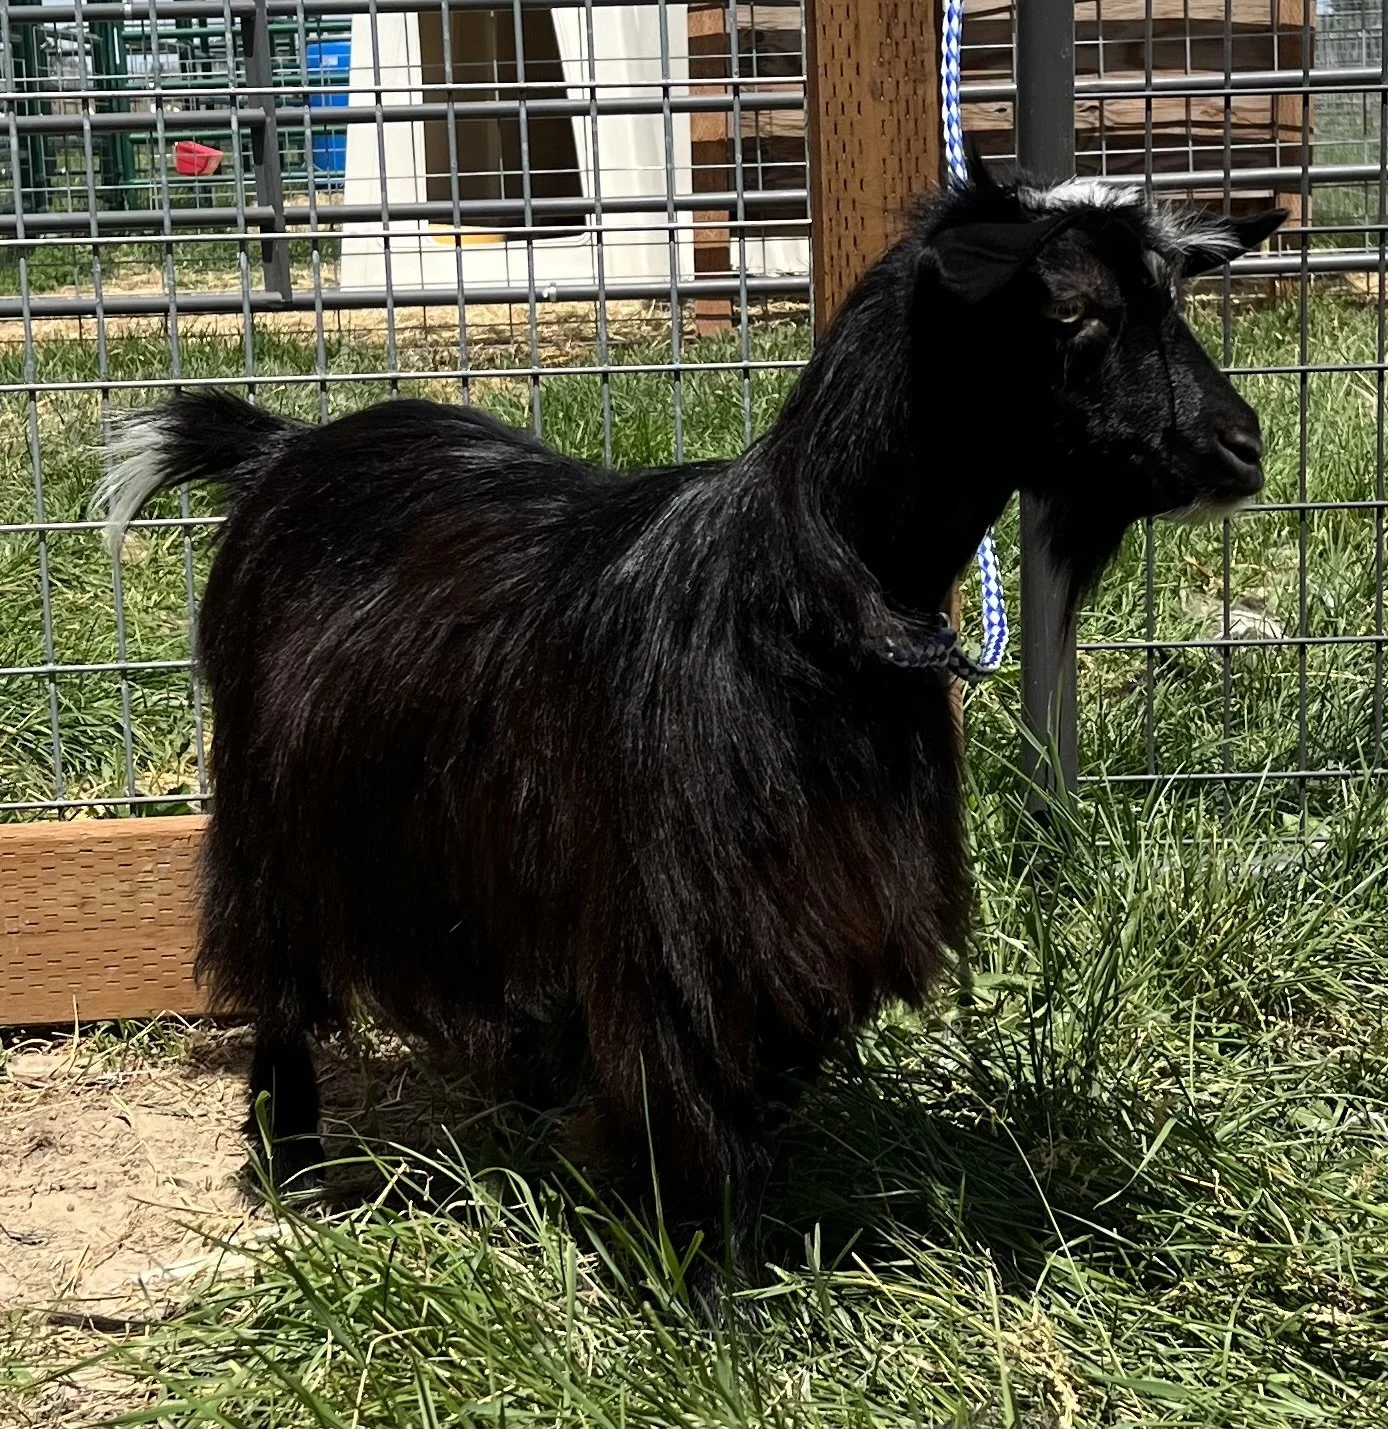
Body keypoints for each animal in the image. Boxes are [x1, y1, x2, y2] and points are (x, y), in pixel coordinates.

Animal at [97, 164, 1284, 1264]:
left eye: (1172, 298)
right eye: (1072, 308)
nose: (1242, 448)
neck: (798, 589)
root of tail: (284, 451)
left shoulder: (810, 907)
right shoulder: (679, 914)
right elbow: (688, 1089)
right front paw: (702, 1286)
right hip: (283, 810)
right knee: (277, 974)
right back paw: (292, 1155)